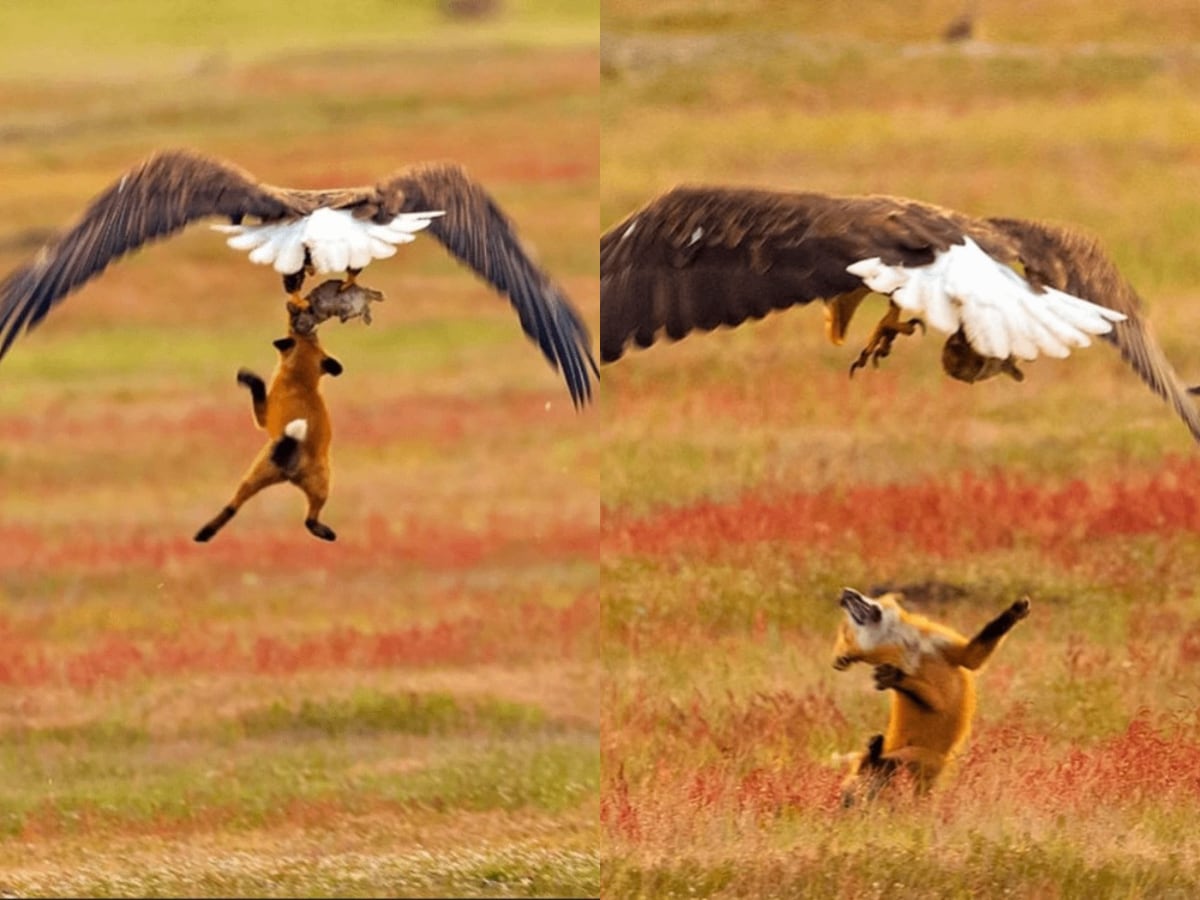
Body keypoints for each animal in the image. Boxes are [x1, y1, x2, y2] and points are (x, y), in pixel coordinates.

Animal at [194, 327, 343, 543]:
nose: (311, 329)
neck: (300, 382)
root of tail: (290, 472)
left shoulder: (263, 417)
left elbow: (258, 387)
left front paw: (247, 378)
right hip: (308, 485)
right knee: (233, 508)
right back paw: (205, 532)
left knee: (308, 520)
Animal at [832, 586, 1030, 806]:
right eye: (848, 633)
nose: (843, 593)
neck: (912, 648)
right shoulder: (927, 693)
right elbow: (919, 692)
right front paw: (891, 678)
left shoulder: (960, 653)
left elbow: (985, 640)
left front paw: (1015, 611)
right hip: (912, 756)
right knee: (878, 764)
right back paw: (875, 756)